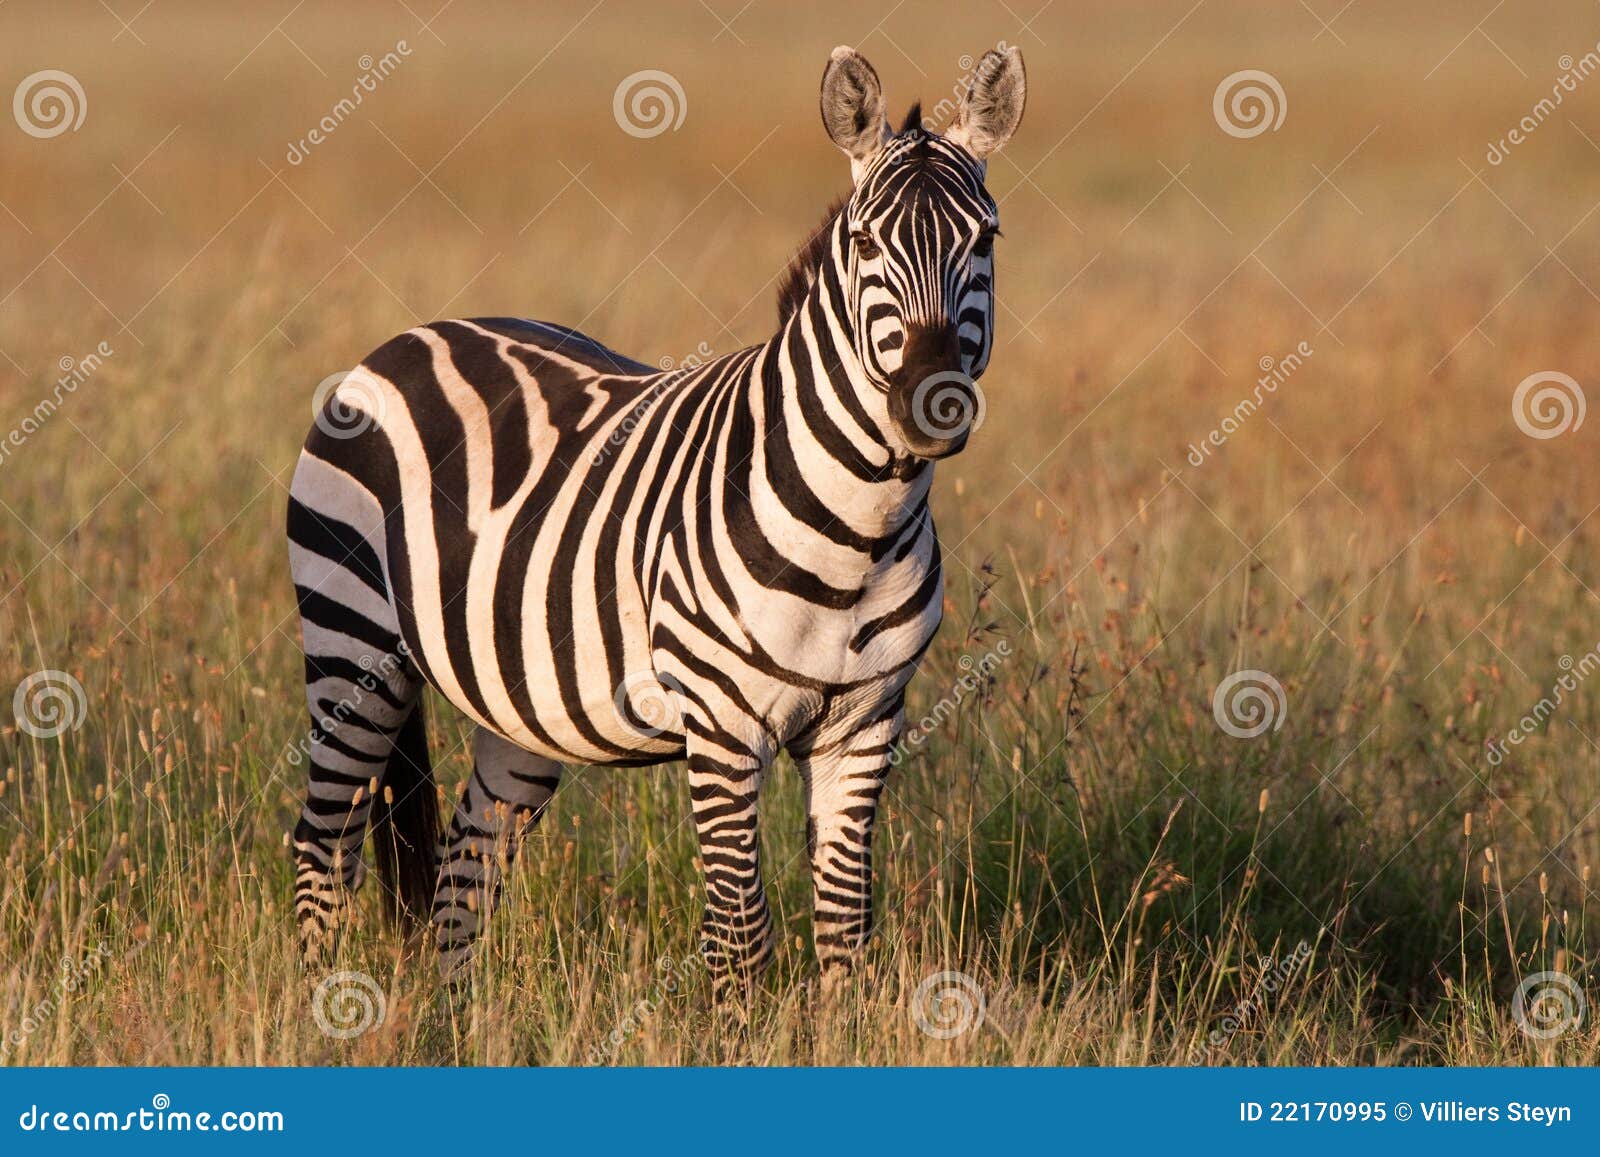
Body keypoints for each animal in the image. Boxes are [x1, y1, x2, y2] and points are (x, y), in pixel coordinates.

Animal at [287, 44, 1026, 992]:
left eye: (986, 239)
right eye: (864, 243)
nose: (933, 404)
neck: (861, 533)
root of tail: (412, 336)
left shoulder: (863, 727)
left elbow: (845, 931)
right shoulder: (721, 726)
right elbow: (741, 935)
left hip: (518, 705)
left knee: (465, 863)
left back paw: (454, 1014)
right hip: (352, 644)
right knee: (324, 846)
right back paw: (319, 1003)